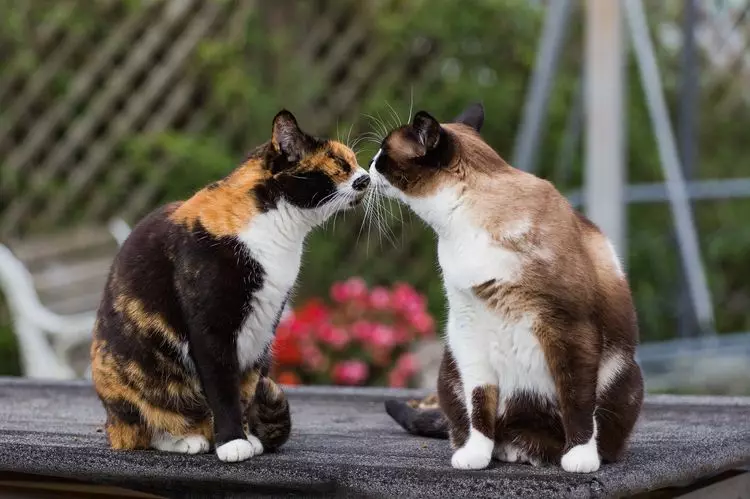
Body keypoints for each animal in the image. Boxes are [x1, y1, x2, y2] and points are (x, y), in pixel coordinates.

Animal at [91, 111, 370, 462]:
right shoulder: (212, 329)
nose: (366, 177)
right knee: (142, 431)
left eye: (354, 162)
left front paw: (247, 437)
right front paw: (232, 442)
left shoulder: (262, 328)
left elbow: (245, 388)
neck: (277, 228)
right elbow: (223, 387)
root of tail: (108, 421)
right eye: (340, 163)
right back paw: (189, 439)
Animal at [374, 104, 644, 472]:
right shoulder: (468, 324)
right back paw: (508, 449)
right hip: (451, 362)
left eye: (383, 152)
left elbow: (577, 400)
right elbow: (479, 404)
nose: (368, 165)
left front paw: (579, 458)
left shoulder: (568, 326)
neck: (462, 223)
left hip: (625, 376)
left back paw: (542, 452)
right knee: (474, 423)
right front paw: (476, 455)